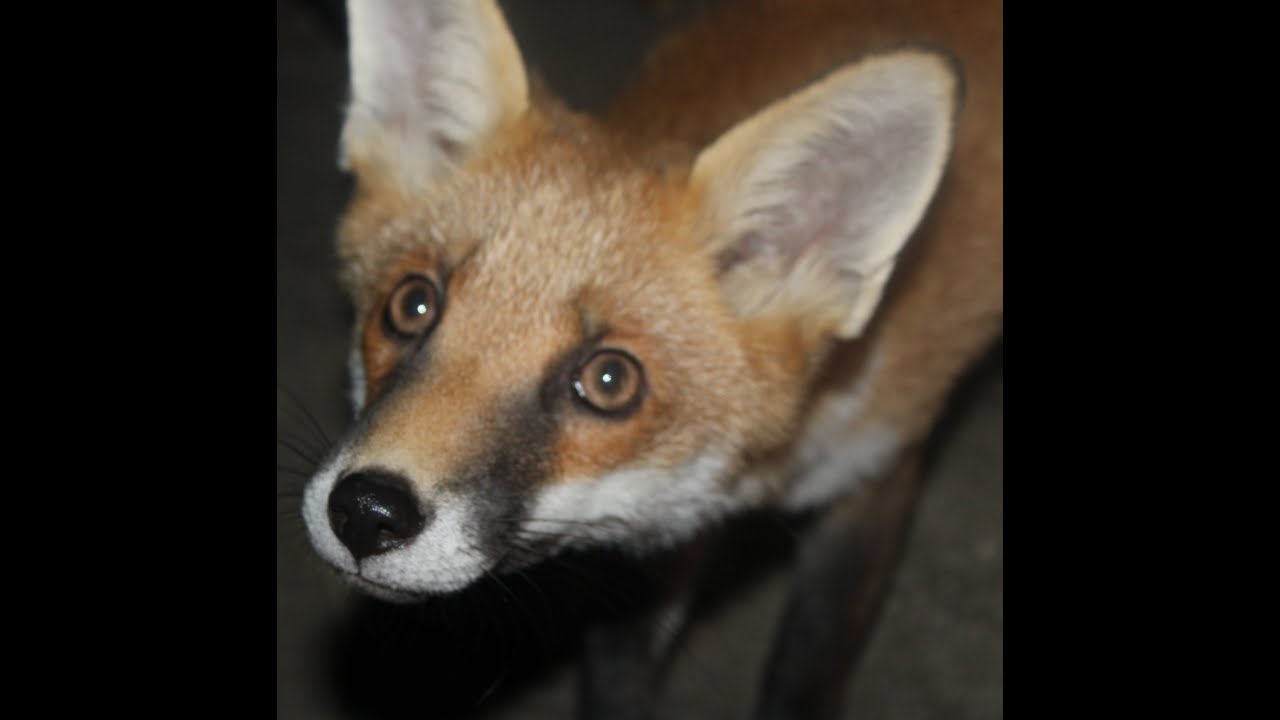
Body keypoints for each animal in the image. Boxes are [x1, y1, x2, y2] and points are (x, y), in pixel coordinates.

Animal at [298, 0, 1002, 717]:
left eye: (609, 379)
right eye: (412, 305)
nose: (367, 512)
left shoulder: (879, 472)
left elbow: (806, 662)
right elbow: (617, 668)